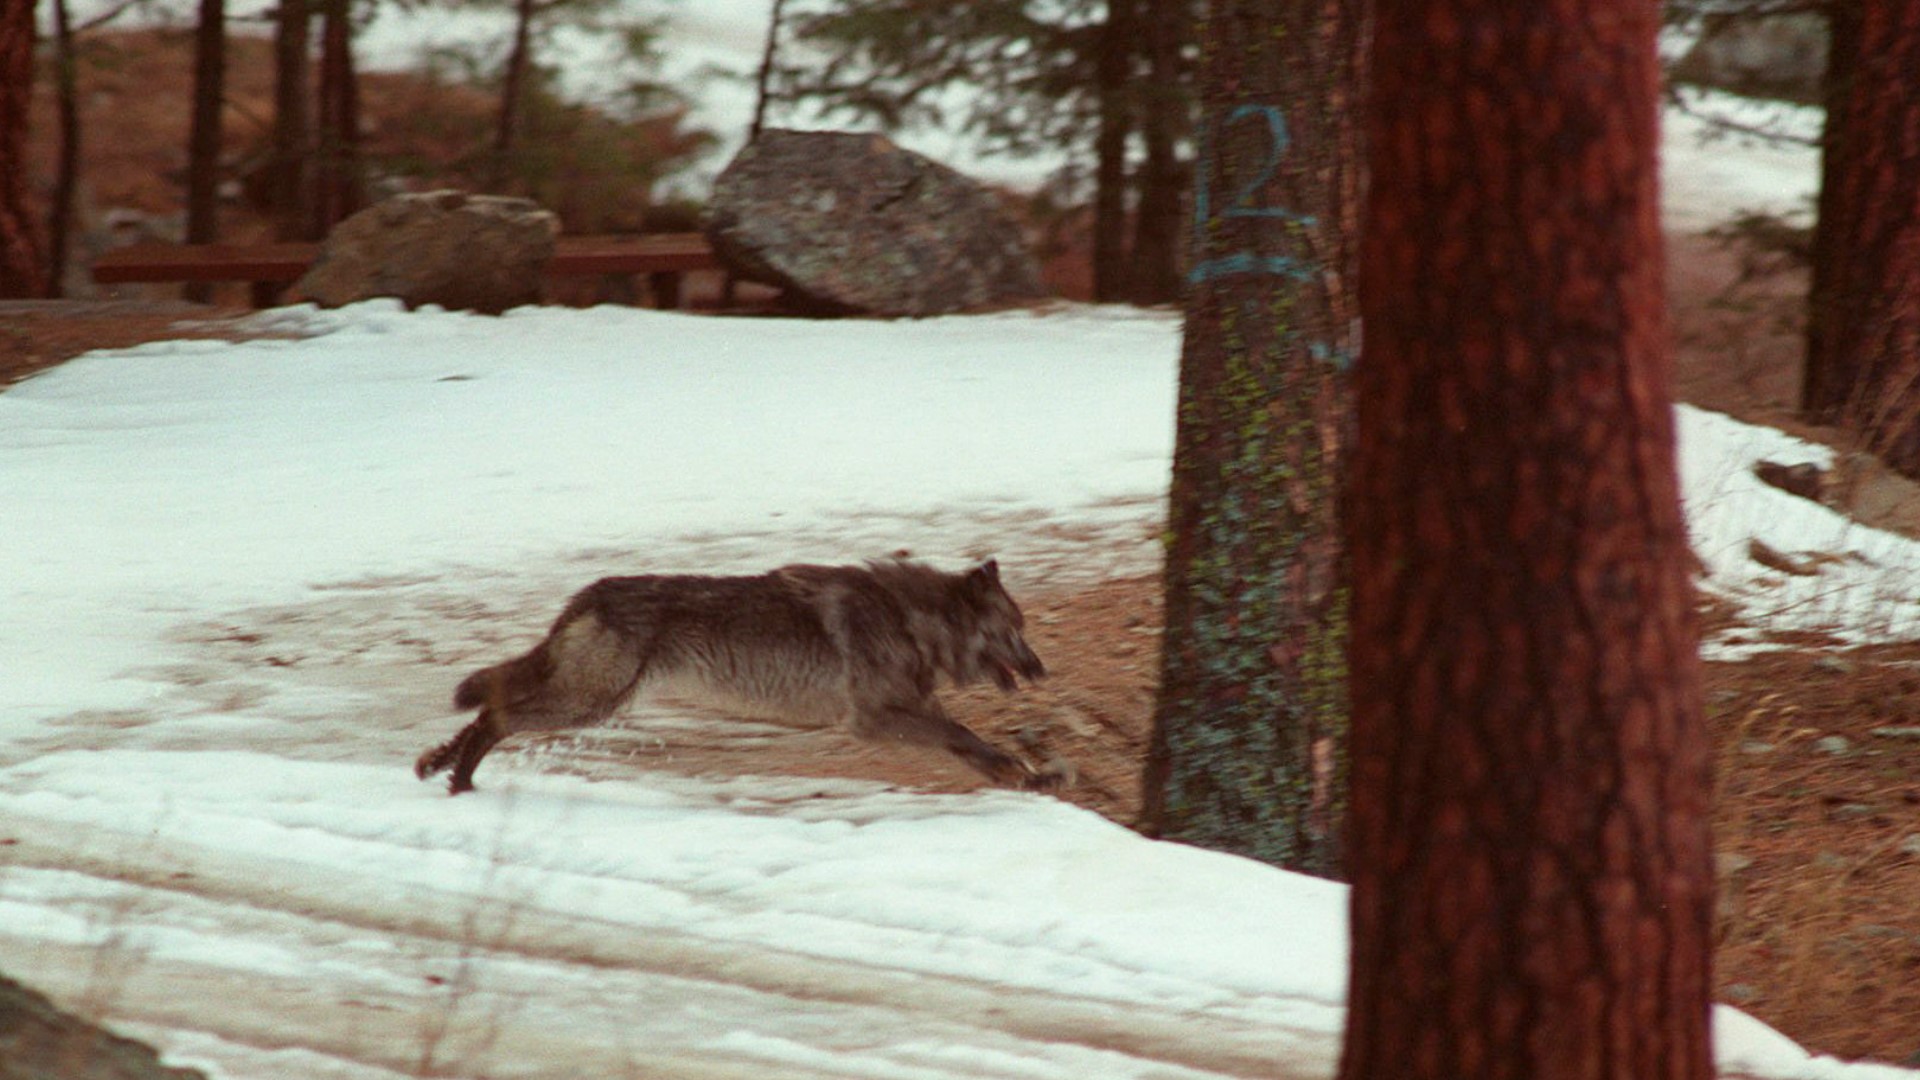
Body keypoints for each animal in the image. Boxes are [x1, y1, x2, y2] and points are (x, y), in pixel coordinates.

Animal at [414, 558, 1055, 795]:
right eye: (1013, 630)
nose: (1041, 669)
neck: (908, 619)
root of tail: (586, 595)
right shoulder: (874, 719)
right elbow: (963, 735)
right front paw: (1021, 771)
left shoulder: (909, 711)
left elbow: (970, 745)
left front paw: (1025, 776)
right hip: (588, 705)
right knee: (497, 715)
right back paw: (461, 781)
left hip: (587, 700)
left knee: (489, 705)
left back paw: (438, 764)